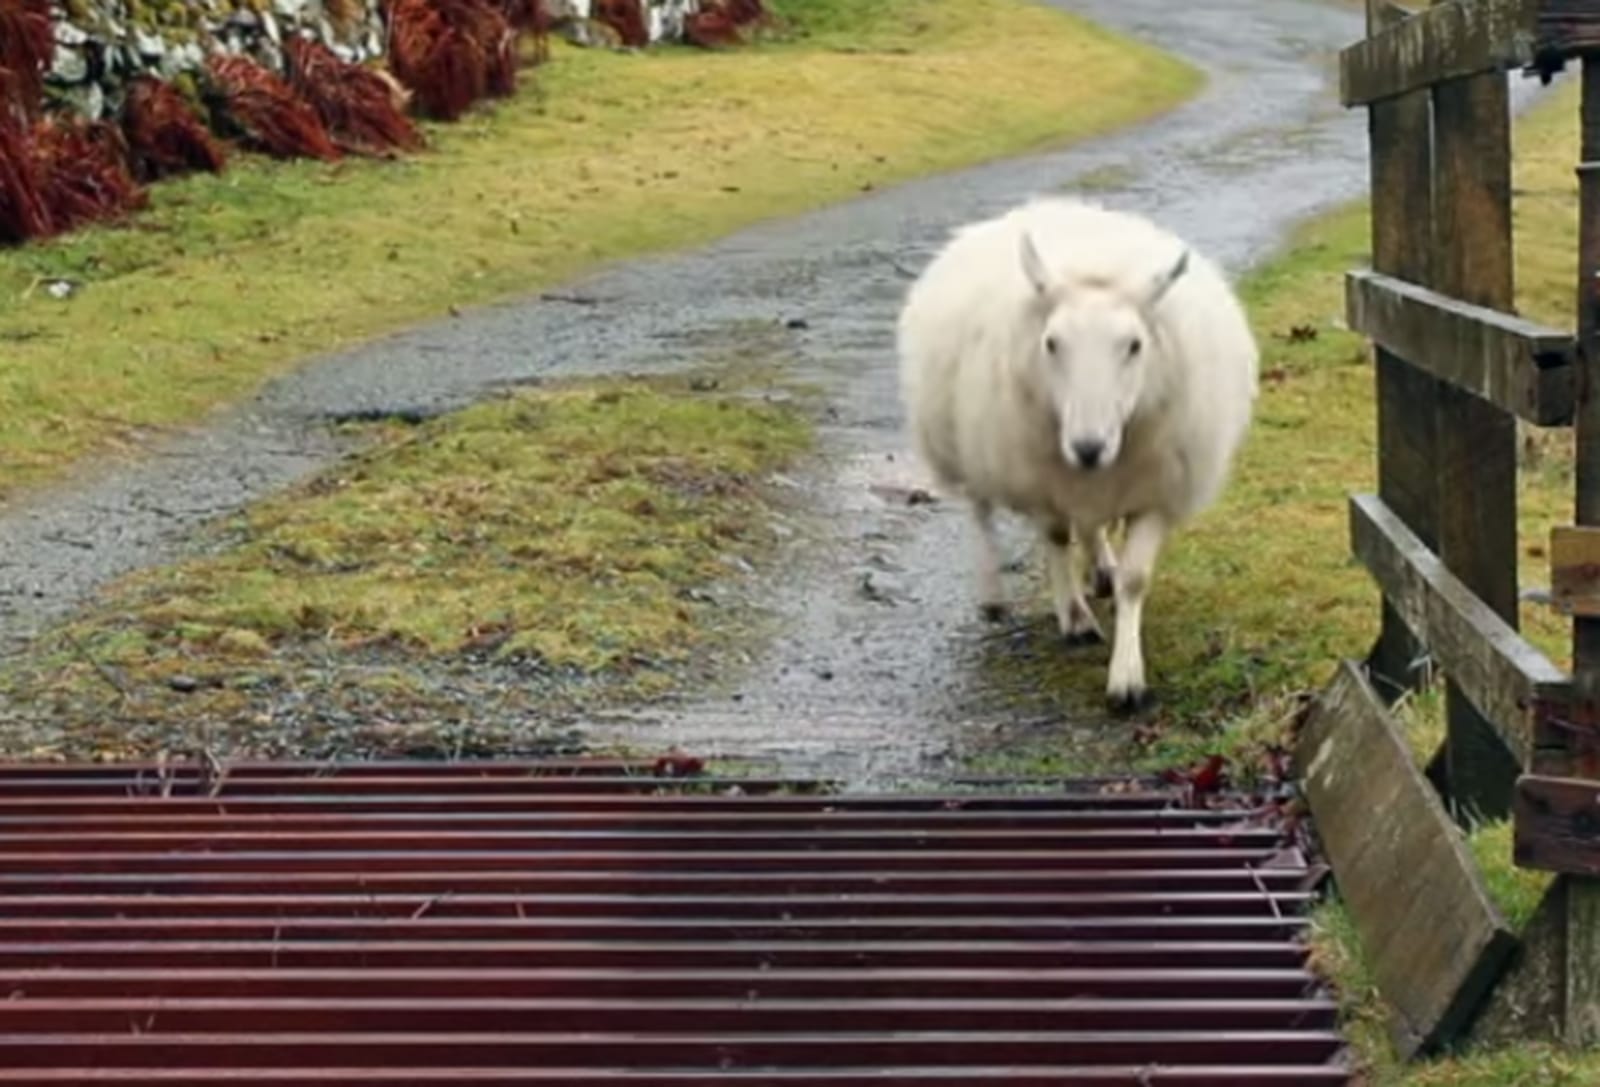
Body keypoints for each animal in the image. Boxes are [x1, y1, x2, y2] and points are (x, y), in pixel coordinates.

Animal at [896, 195, 1258, 711]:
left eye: (1134, 344)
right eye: (1051, 342)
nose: (1088, 447)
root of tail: (1048, 206)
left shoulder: (1157, 490)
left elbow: (1134, 579)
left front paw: (1126, 677)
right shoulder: (1040, 479)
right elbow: (1054, 539)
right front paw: (1075, 618)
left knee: (1090, 526)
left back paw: (1101, 568)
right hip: (964, 439)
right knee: (980, 512)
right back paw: (993, 594)